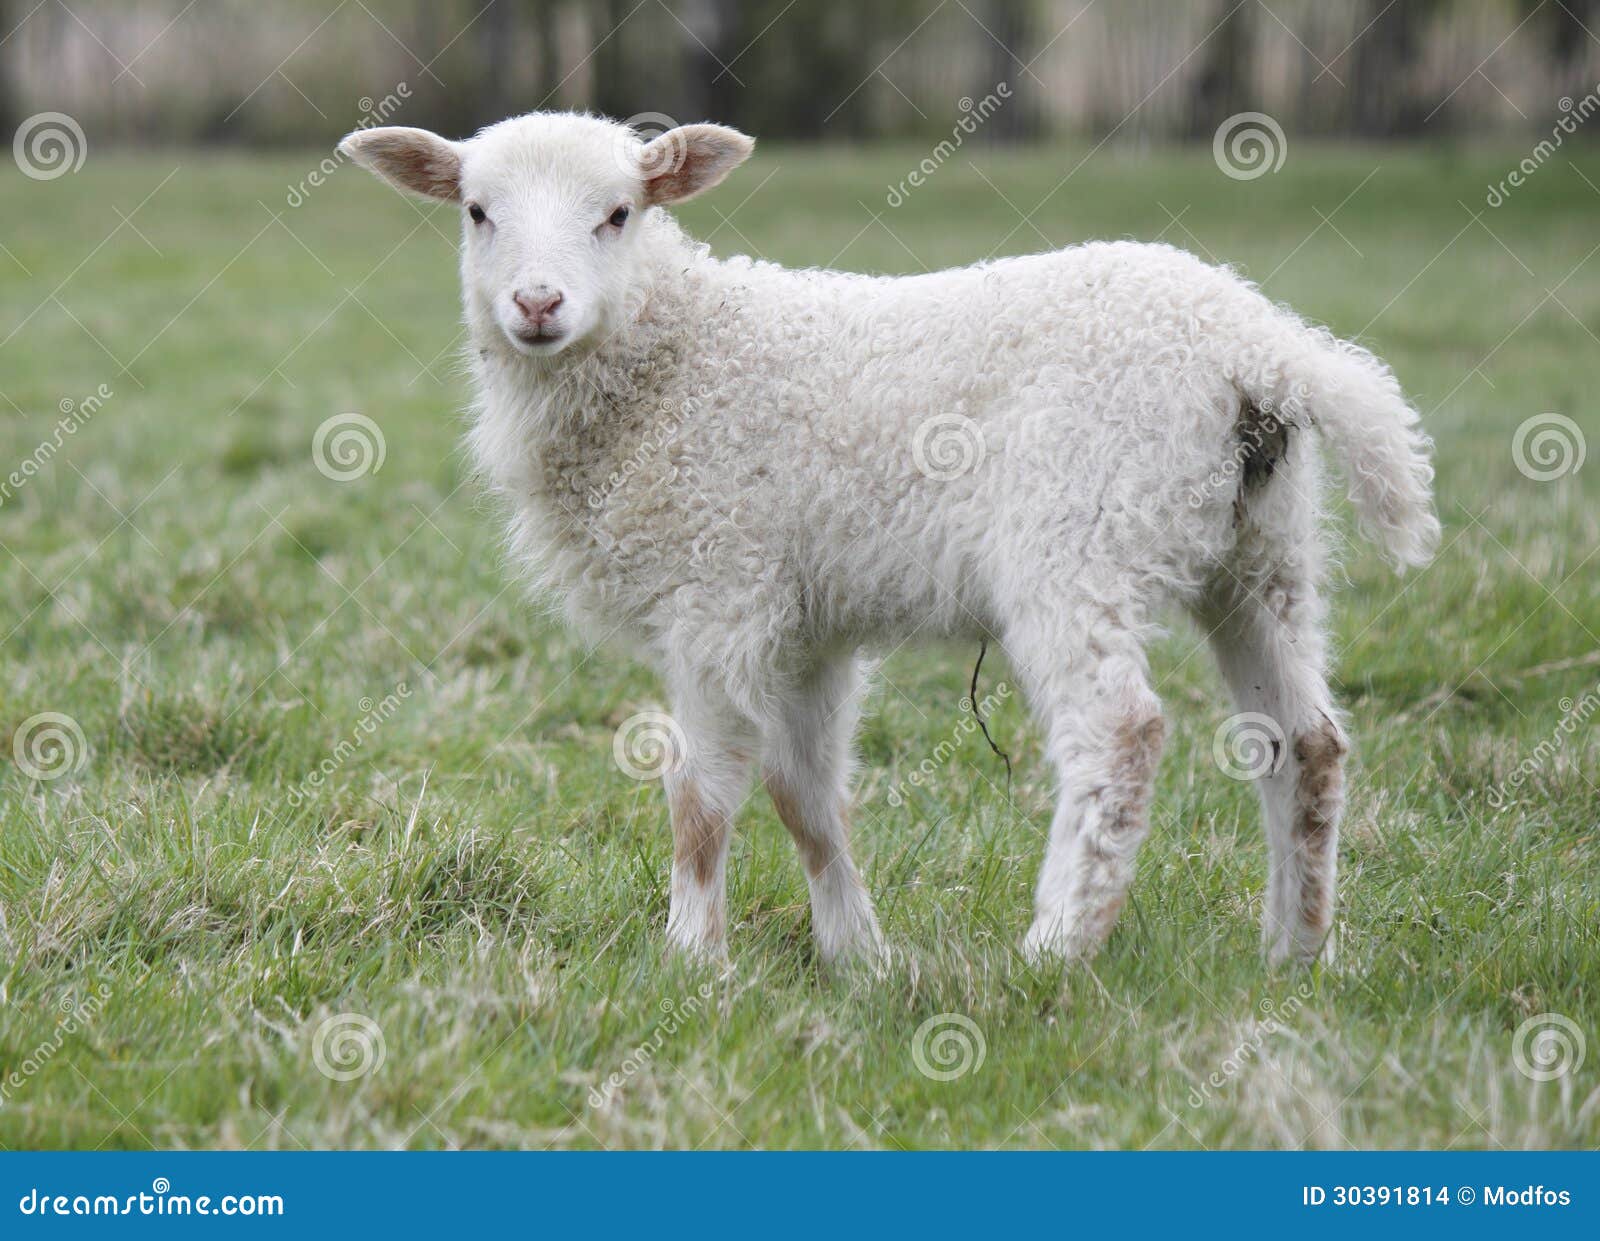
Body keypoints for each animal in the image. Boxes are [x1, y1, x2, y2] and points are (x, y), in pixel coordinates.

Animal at [340, 111, 1440, 969]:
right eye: (476, 212)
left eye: (619, 214)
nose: (536, 304)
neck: (673, 361)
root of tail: (1257, 345)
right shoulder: (803, 624)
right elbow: (805, 796)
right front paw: (856, 955)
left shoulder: (717, 587)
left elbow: (700, 796)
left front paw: (692, 957)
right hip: (1262, 550)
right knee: (1305, 741)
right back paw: (1295, 951)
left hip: (1078, 537)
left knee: (1119, 731)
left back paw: (1056, 946)